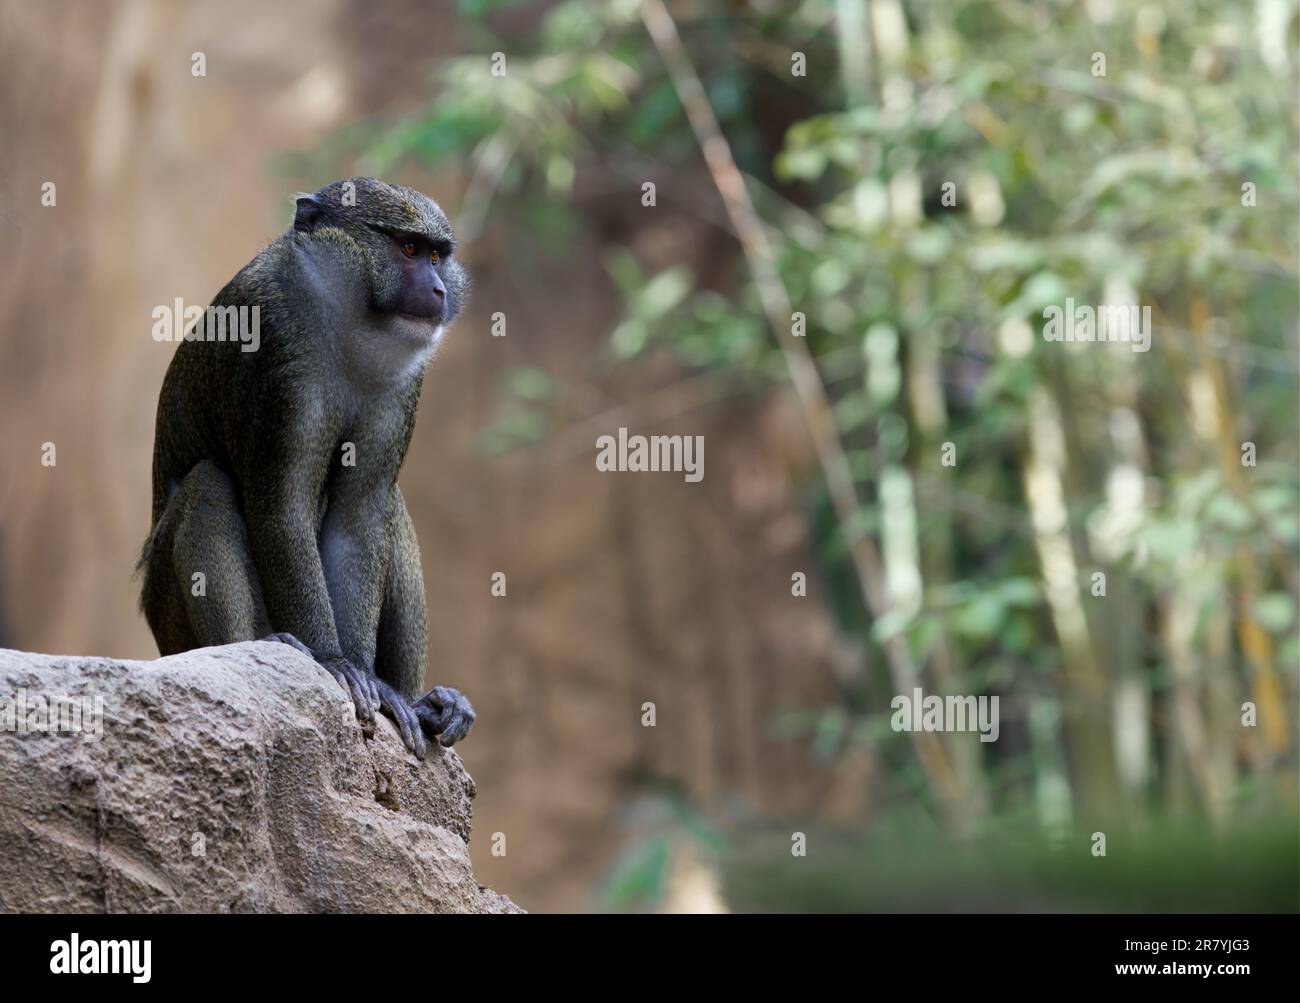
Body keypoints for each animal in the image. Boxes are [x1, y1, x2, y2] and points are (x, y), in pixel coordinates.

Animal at [138, 177, 474, 759]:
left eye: (437, 256)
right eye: (408, 249)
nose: (438, 289)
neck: (342, 319)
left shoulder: (405, 385)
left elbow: (359, 516)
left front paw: (372, 679)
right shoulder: (275, 340)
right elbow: (282, 508)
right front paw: (336, 663)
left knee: (390, 501)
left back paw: (429, 704)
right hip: (170, 622)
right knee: (207, 484)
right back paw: (262, 647)